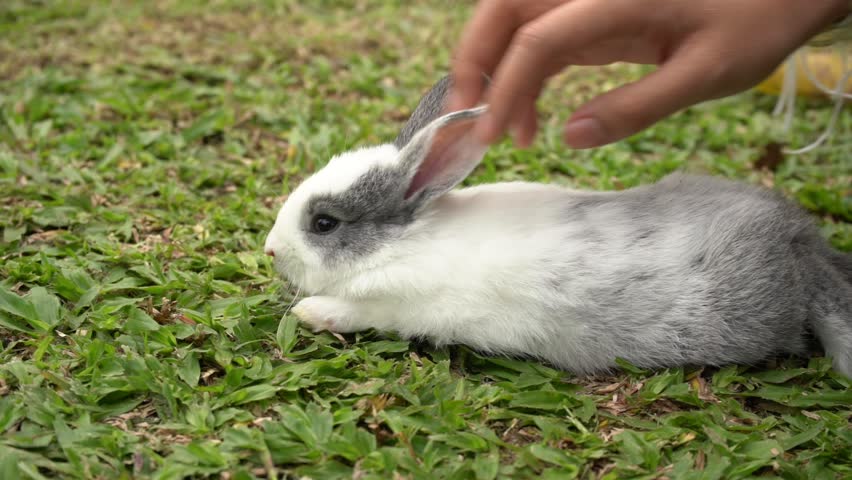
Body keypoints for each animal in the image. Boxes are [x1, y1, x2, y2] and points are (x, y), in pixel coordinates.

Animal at [264, 75, 852, 378]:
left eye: (324, 222)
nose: (270, 251)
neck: (406, 239)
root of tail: (799, 243)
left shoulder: (403, 304)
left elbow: (358, 311)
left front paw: (311, 312)